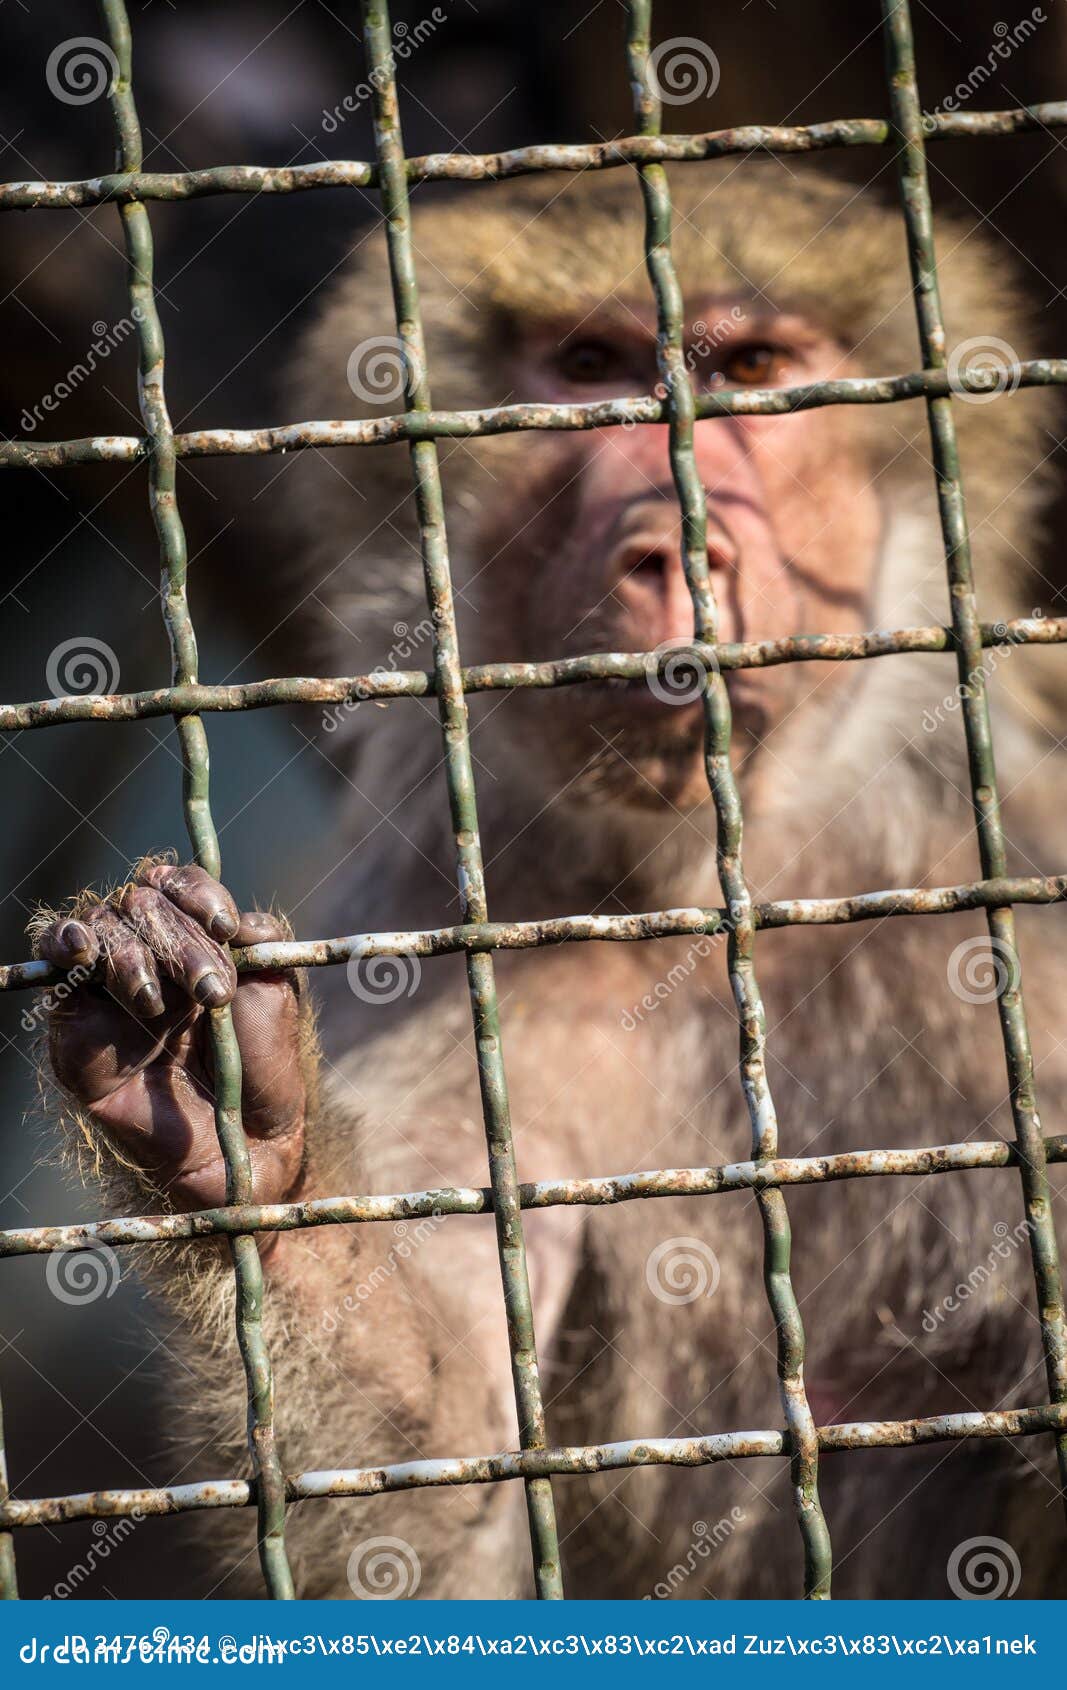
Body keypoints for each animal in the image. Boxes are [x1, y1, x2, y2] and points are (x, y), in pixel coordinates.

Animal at [28, 160, 1067, 1600]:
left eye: (749, 368)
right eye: (587, 369)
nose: (669, 547)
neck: (716, 882)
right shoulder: (426, 935)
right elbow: (437, 1488)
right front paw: (227, 1117)